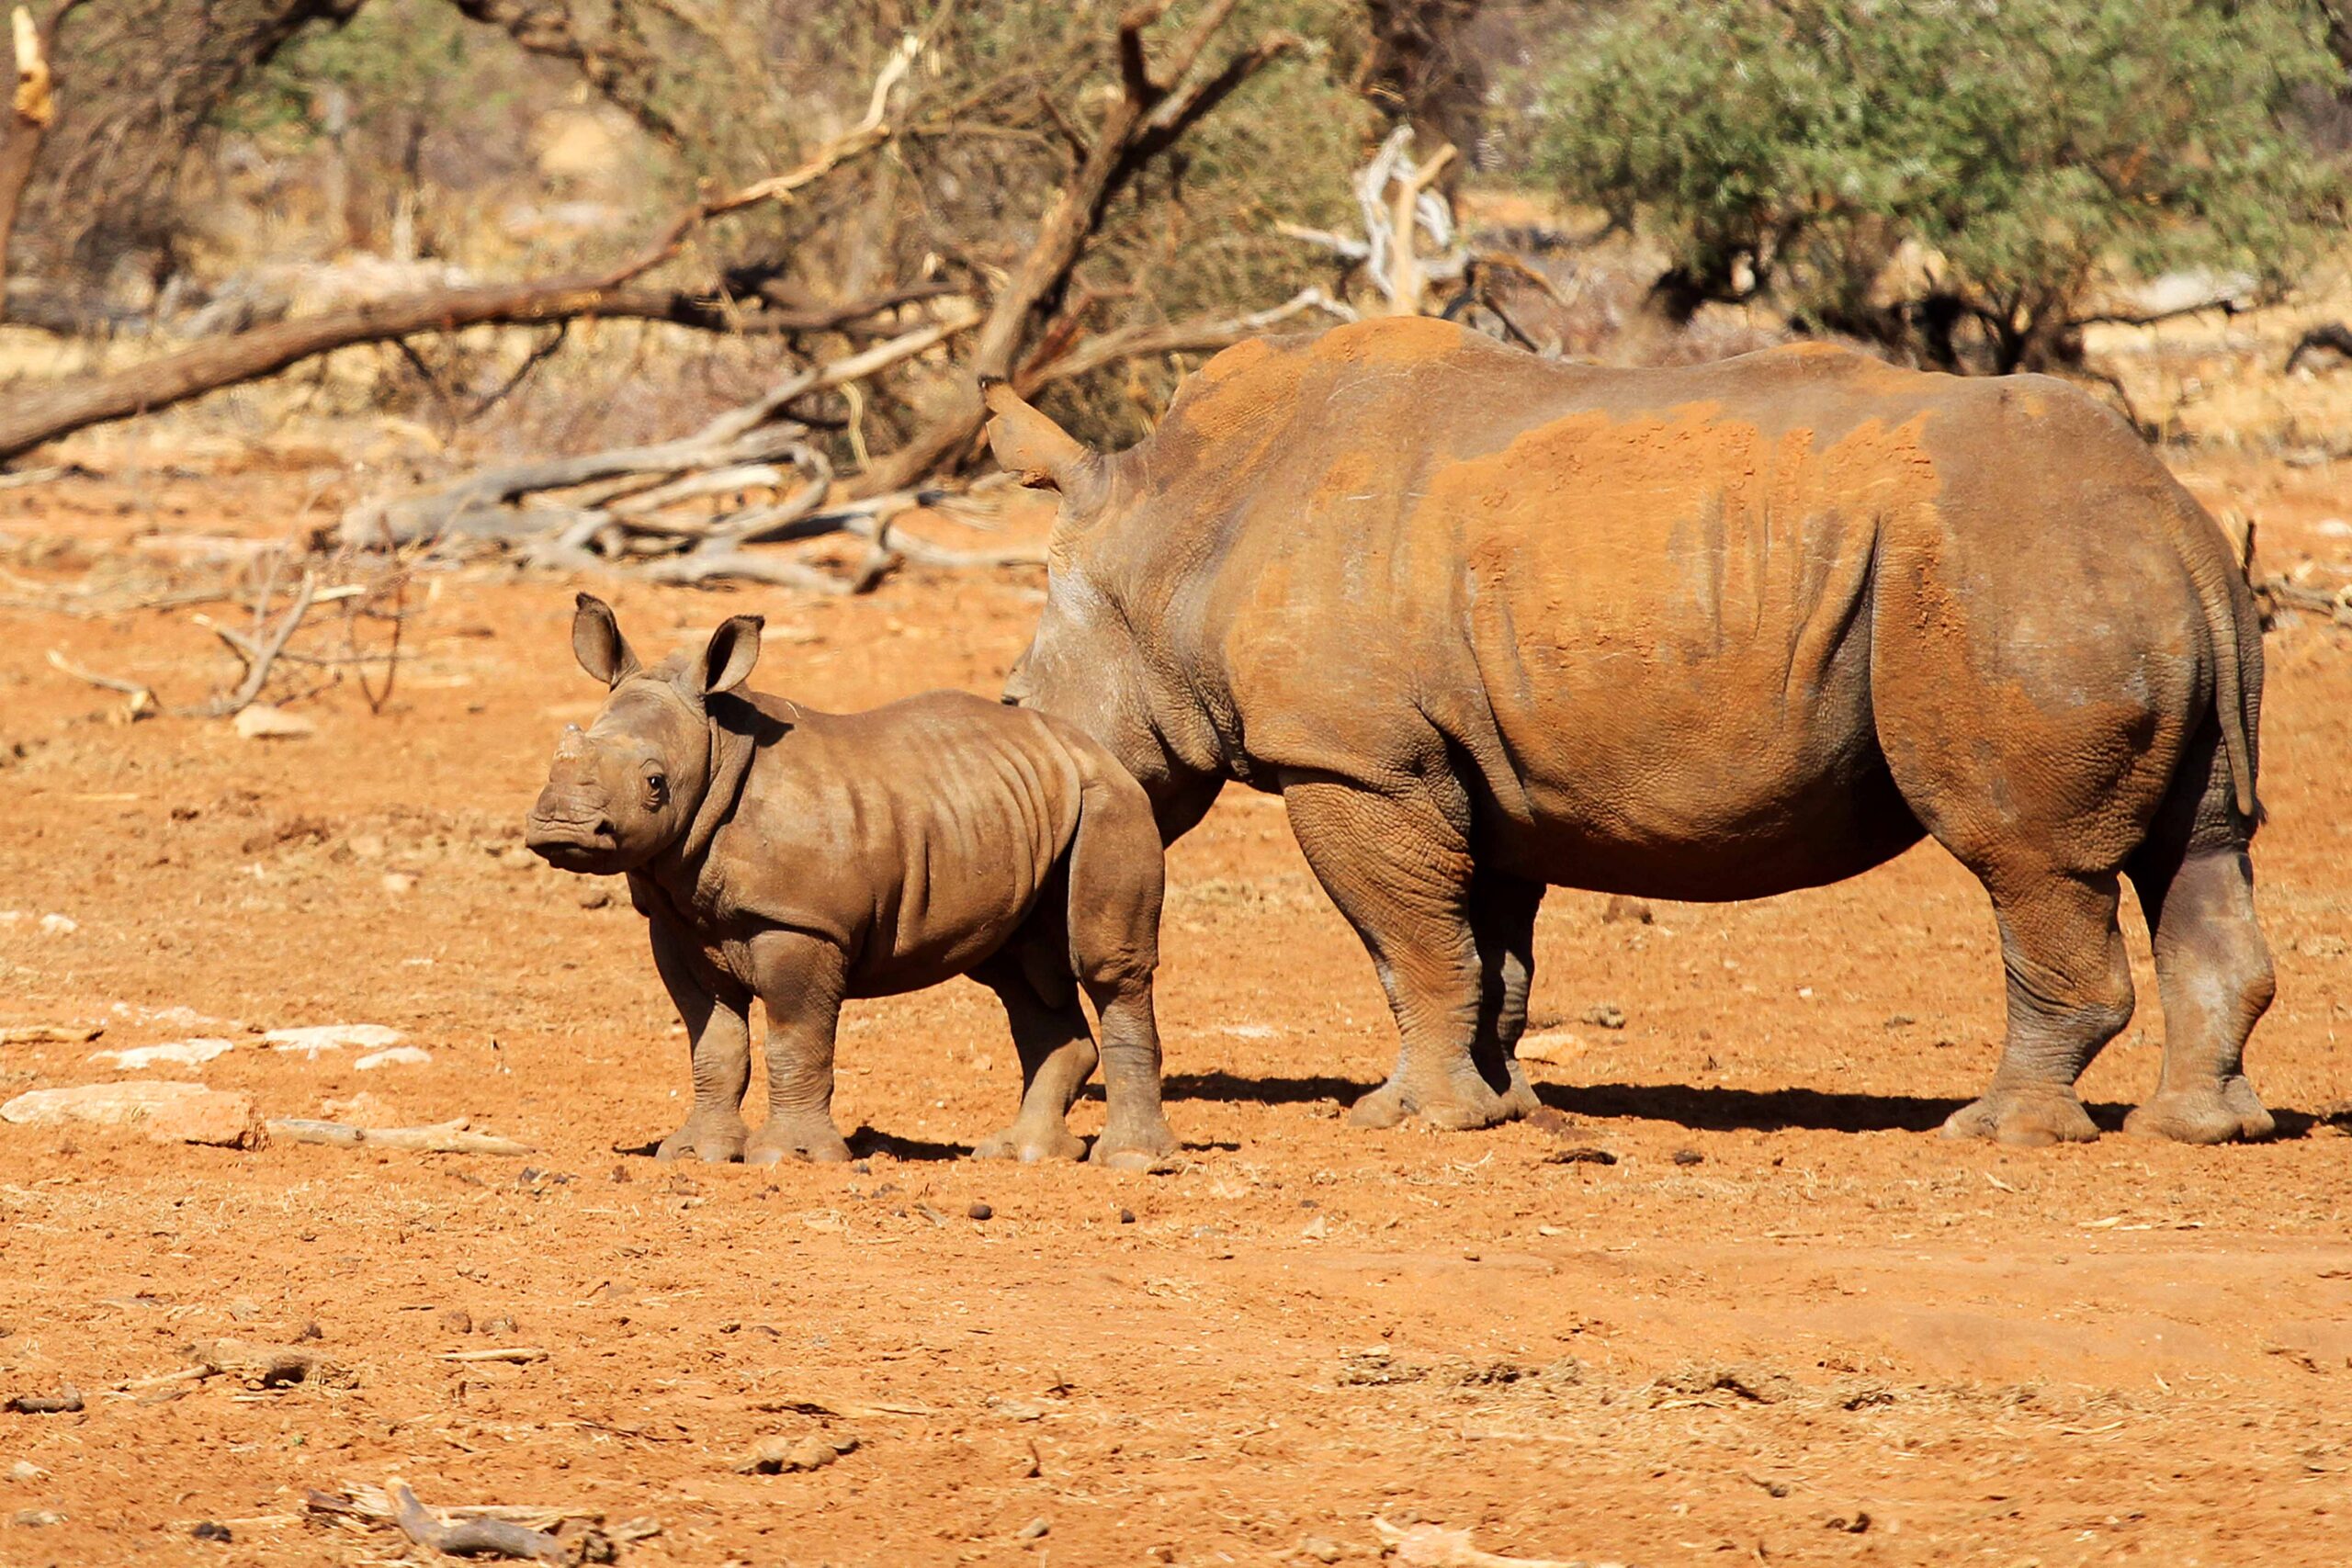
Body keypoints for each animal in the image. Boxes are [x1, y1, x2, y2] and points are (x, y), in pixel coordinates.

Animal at [524, 594, 1177, 1168]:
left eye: (655, 784)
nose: (561, 827)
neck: (716, 751)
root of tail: (1092, 746)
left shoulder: (803, 923)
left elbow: (795, 1038)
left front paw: (787, 1157)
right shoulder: (676, 921)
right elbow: (714, 1042)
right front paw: (696, 1153)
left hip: (1108, 800)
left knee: (1107, 968)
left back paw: (1132, 1160)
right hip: (1013, 807)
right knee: (1018, 972)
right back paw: (1023, 1154)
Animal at [984, 316, 2274, 1147]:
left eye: (1014, 700)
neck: (1168, 528)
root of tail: (2179, 526)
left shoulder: (1354, 758)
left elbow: (1411, 944)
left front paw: (1409, 1119)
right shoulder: (1473, 764)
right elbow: (1487, 954)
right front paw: (1506, 1107)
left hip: (2009, 582)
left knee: (2025, 859)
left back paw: (1997, 1134)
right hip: (2114, 577)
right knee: (2202, 848)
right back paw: (2197, 1129)